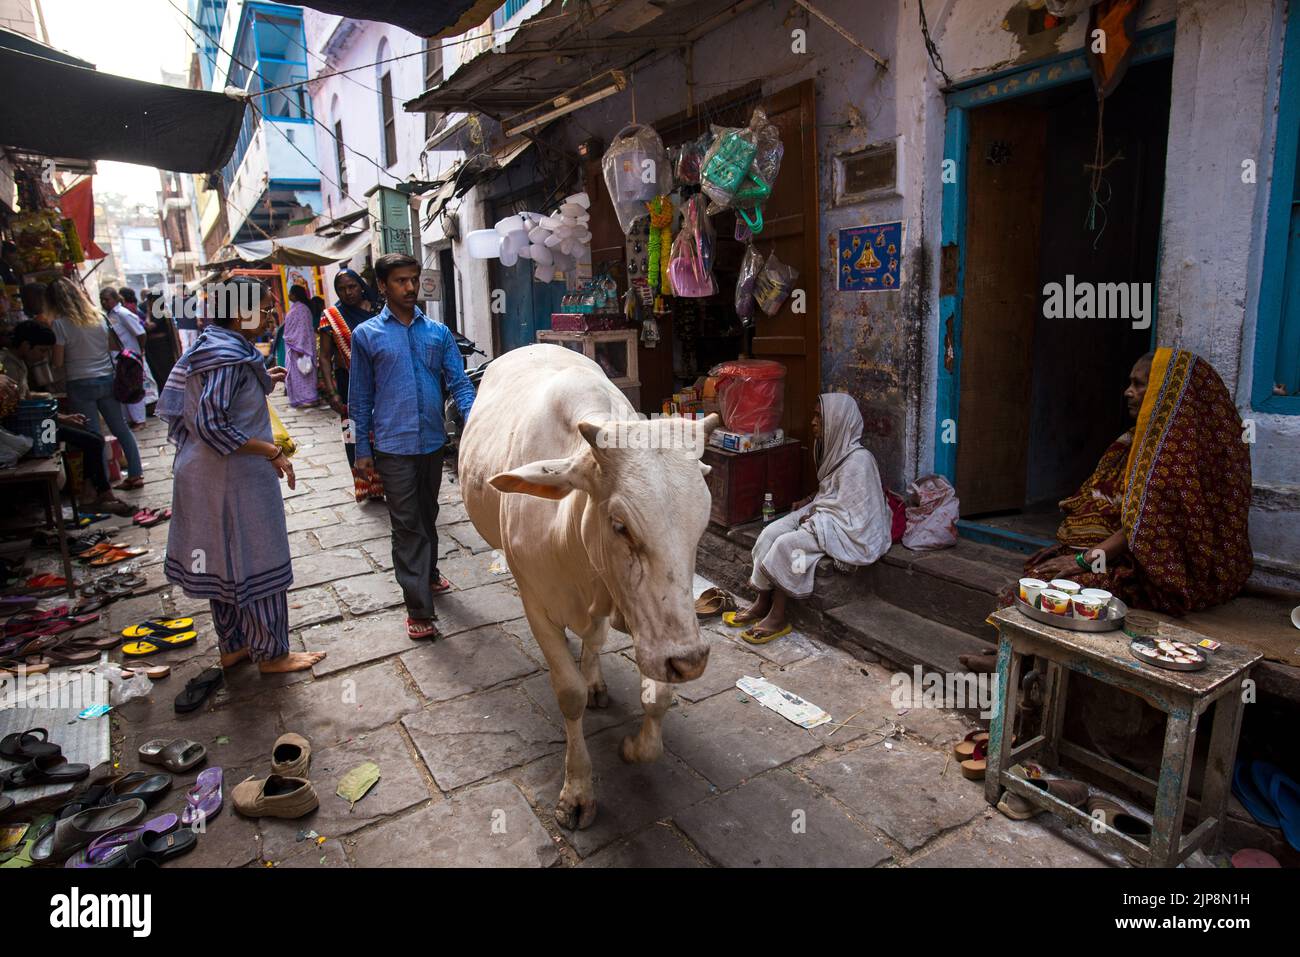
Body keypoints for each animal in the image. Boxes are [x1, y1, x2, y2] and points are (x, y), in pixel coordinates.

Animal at [459, 343, 720, 829]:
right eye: (620, 525)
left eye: (702, 524)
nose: (690, 661)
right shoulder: (536, 604)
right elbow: (569, 693)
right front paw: (577, 792)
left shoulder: (648, 622)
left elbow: (658, 696)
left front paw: (634, 747)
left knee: (595, 639)